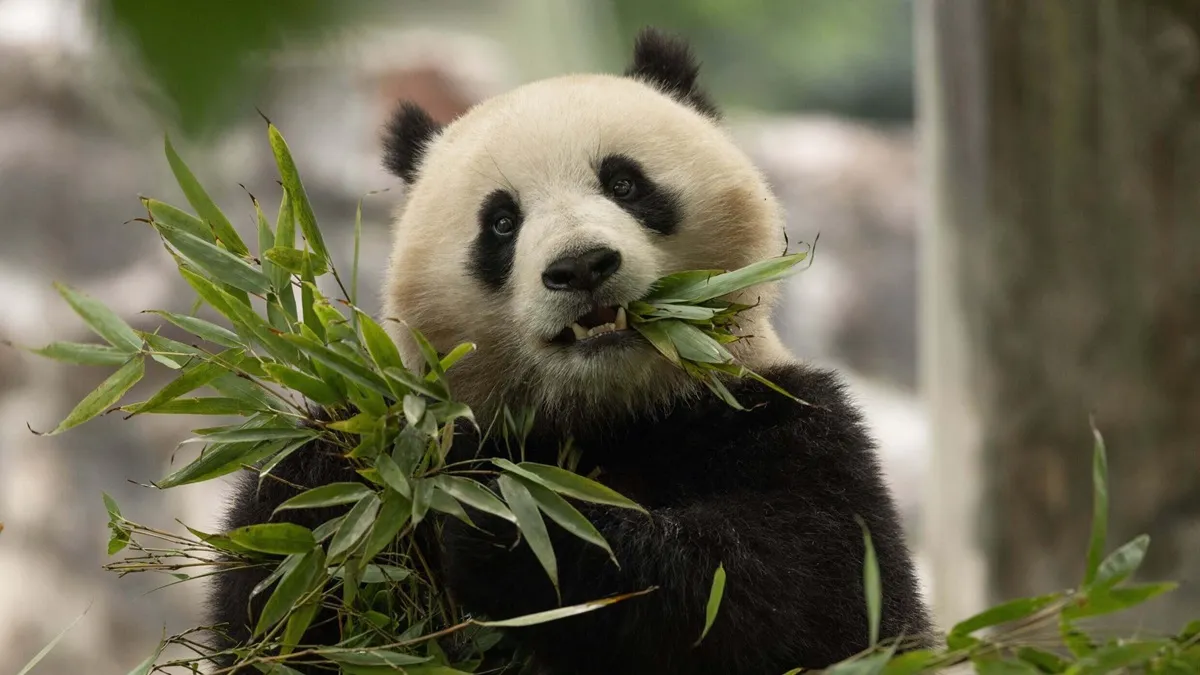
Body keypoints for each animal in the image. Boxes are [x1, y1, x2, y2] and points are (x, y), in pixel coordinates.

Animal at [208, 27, 934, 675]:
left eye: (625, 184)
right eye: (501, 222)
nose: (581, 266)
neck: (608, 412)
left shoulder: (784, 419)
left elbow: (809, 595)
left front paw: (509, 525)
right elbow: (275, 607)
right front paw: (345, 475)